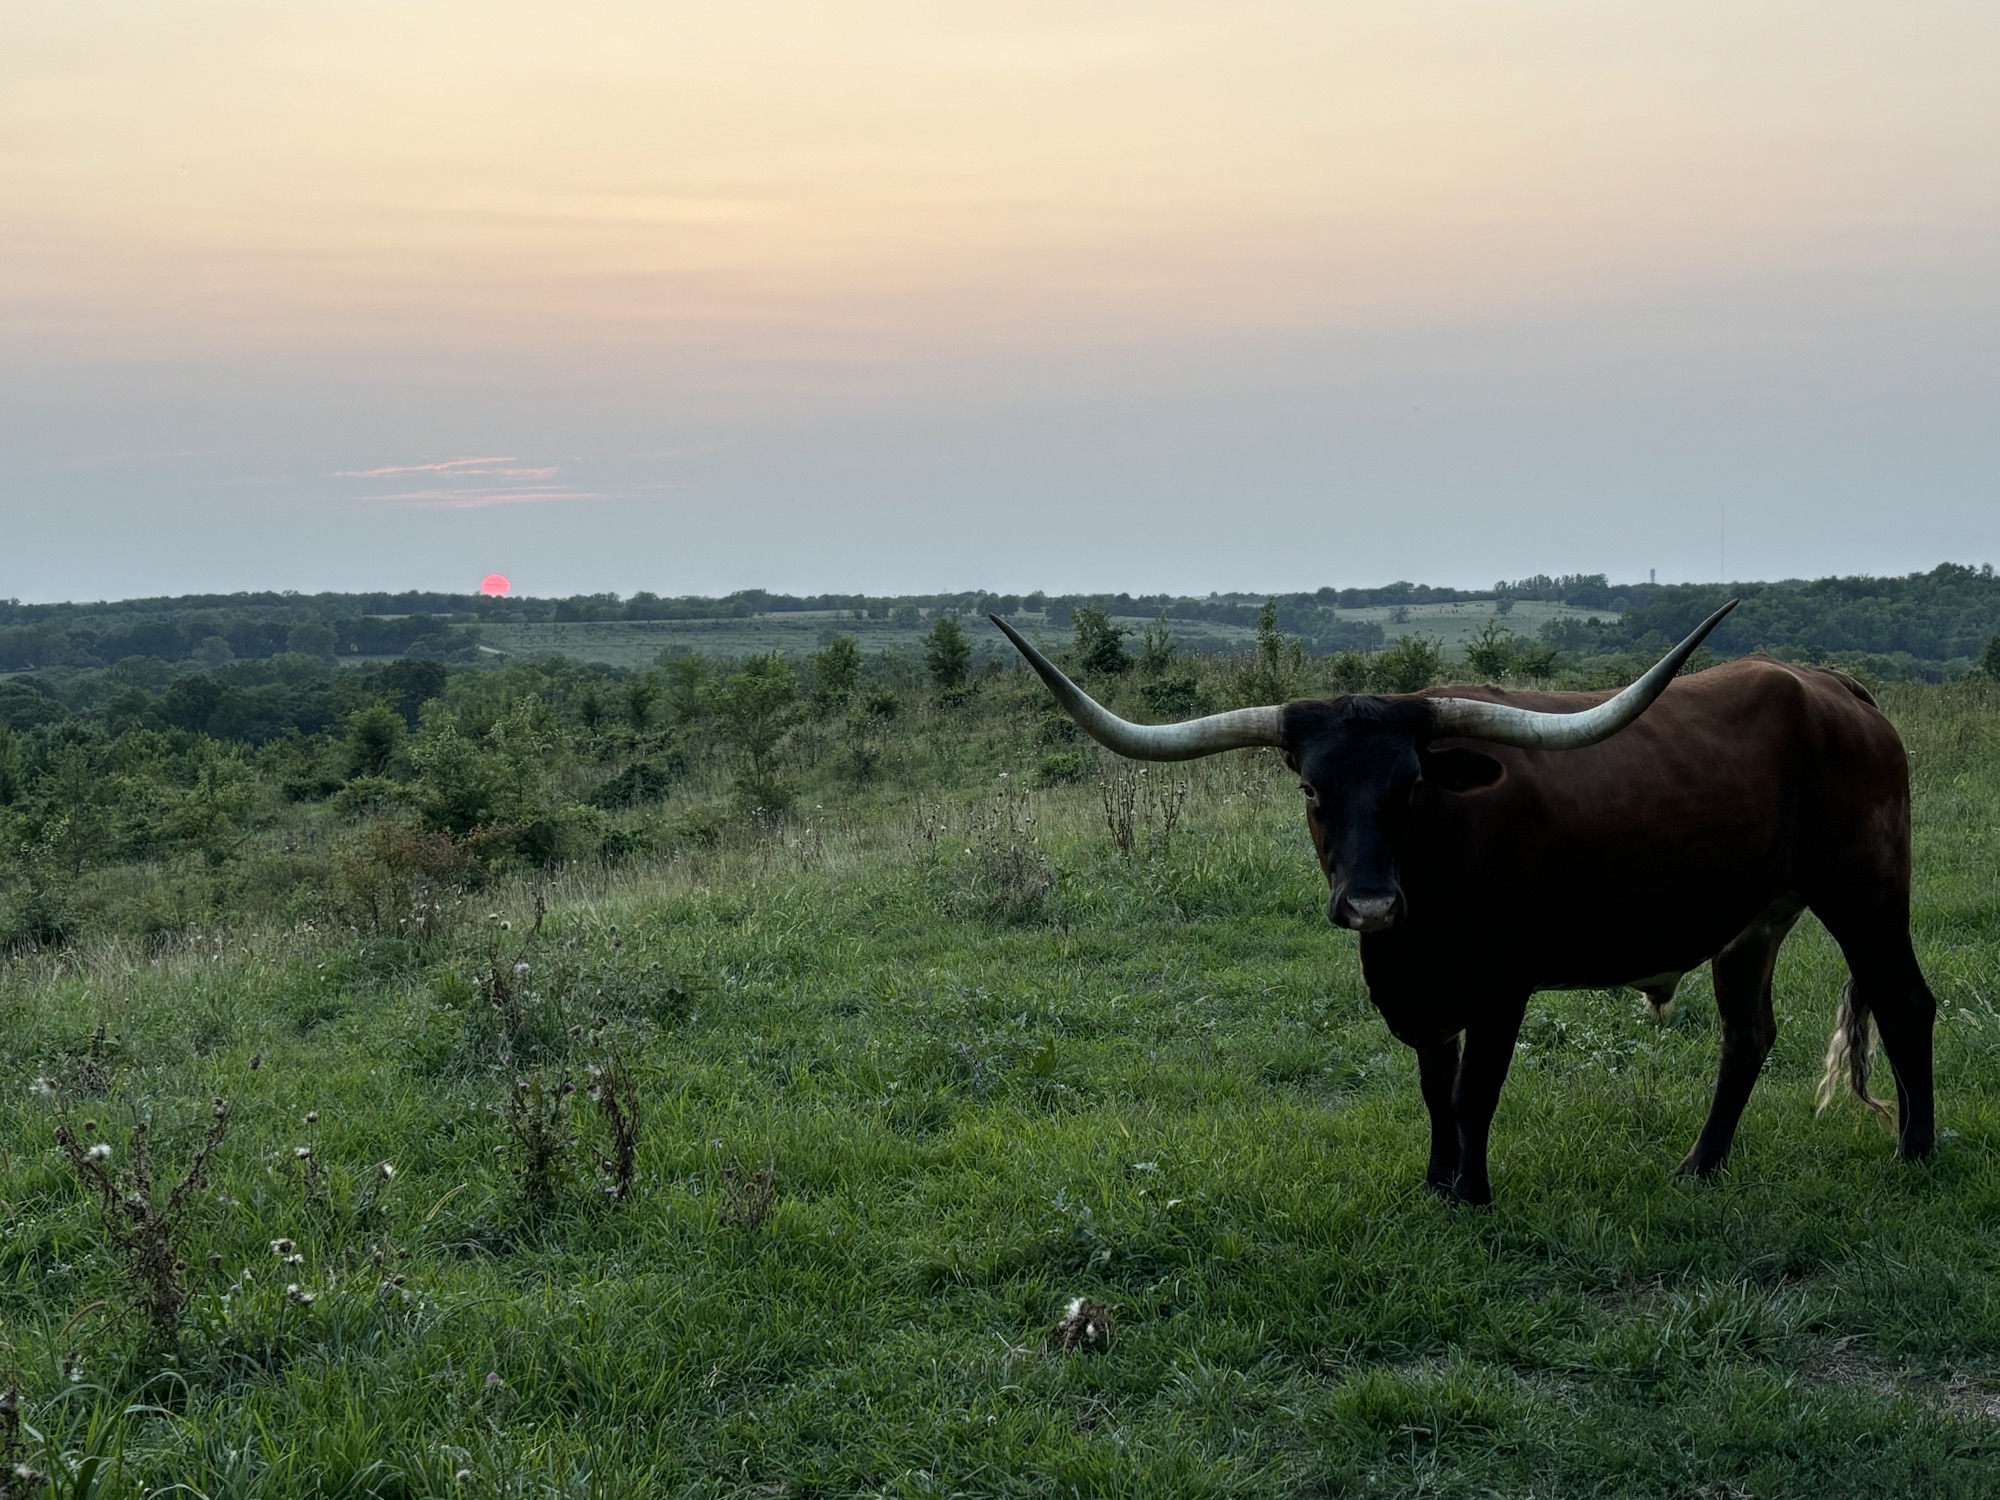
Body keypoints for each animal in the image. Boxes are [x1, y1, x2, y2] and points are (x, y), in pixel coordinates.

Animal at [991, 606, 1936, 1205]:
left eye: (1411, 787)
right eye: (1311, 788)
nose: (1369, 903)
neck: (1422, 911)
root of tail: (1836, 688)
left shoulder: (1499, 988)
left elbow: (1473, 1092)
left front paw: (1473, 1196)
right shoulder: (1417, 991)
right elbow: (1431, 1089)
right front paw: (1438, 1183)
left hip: (1867, 889)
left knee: (1905, 1005)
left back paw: (1916, 1156)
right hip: (1751, 923)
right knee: (1747, 1037)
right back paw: (1699, 1168)